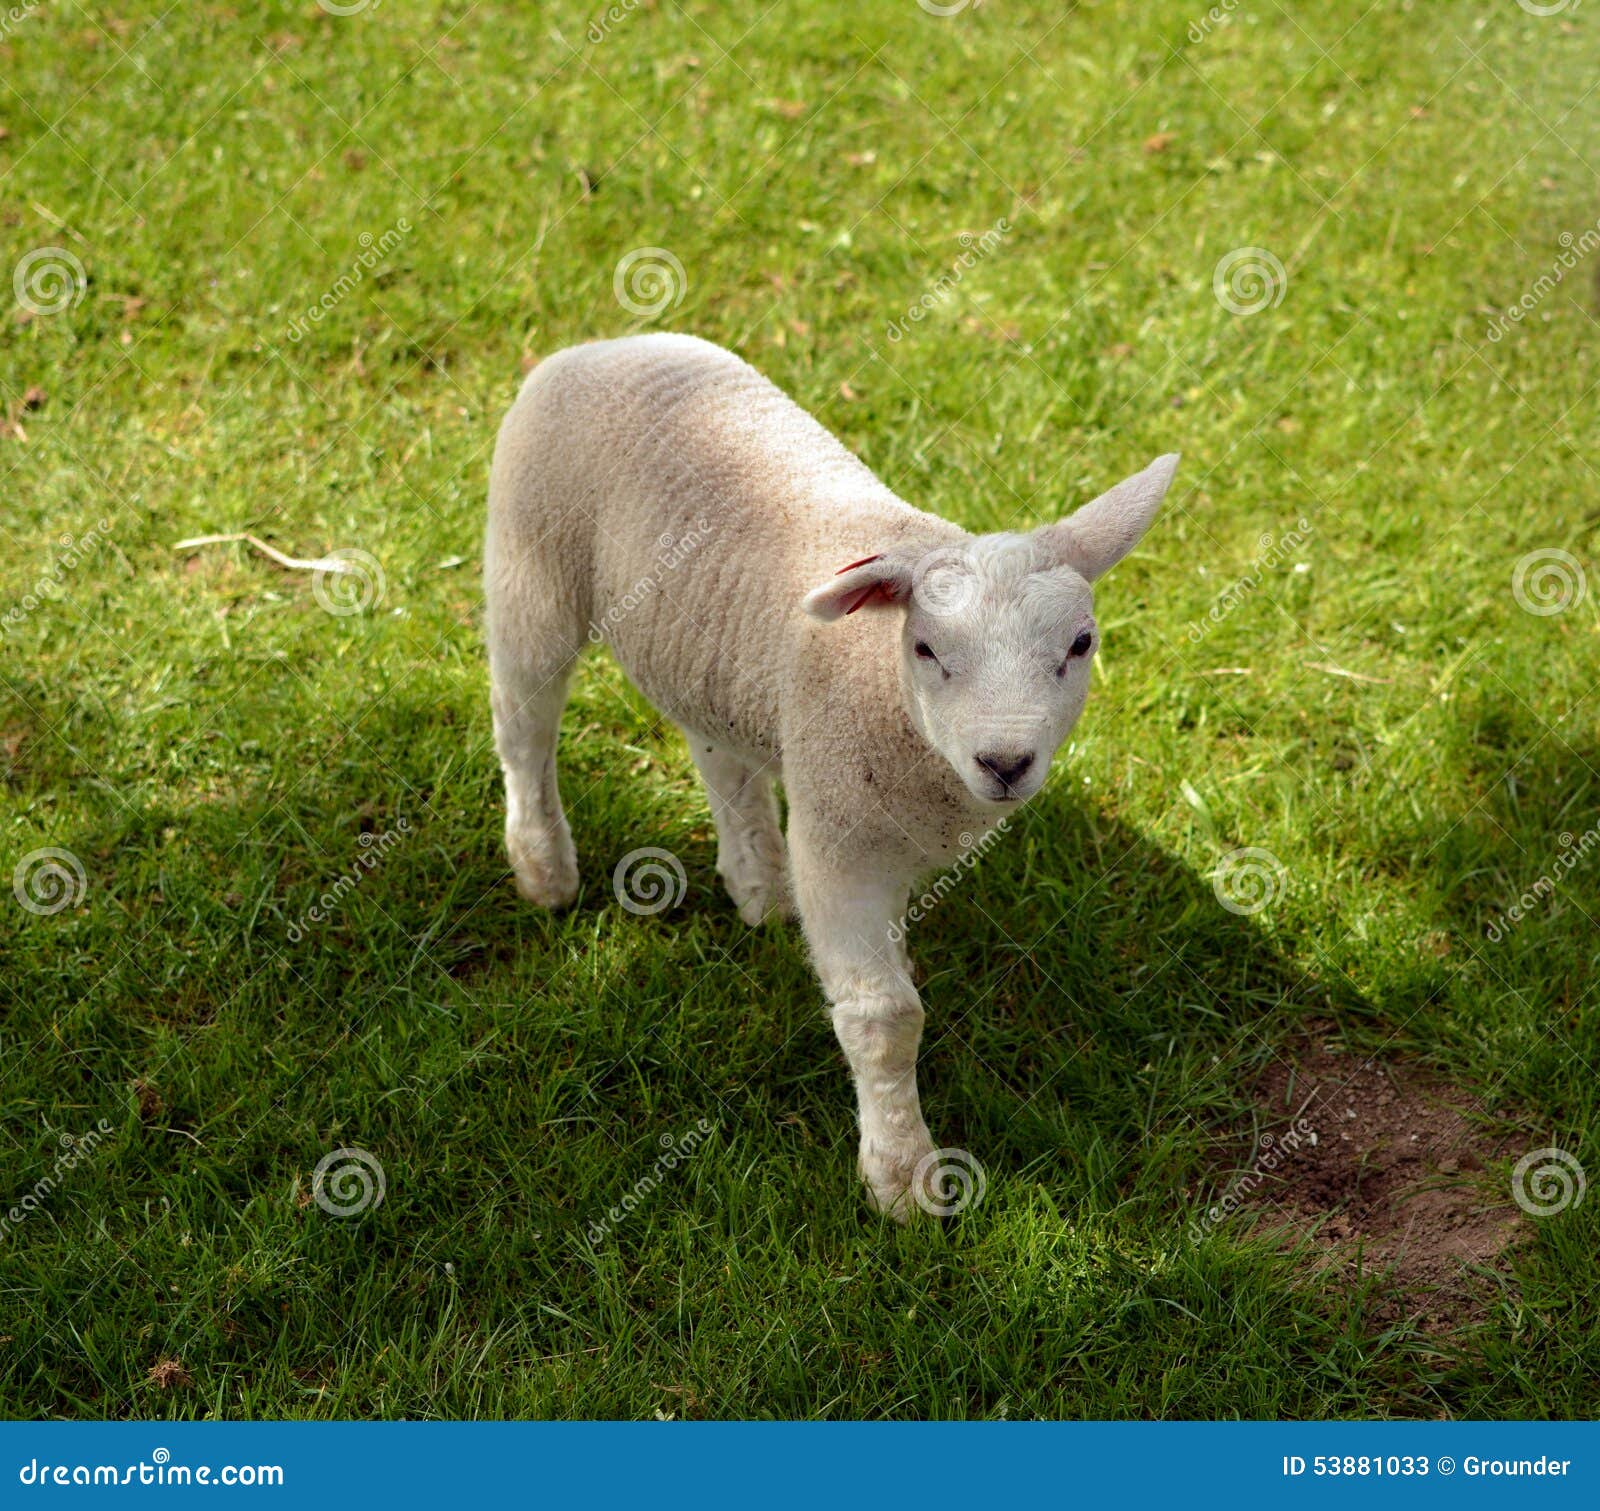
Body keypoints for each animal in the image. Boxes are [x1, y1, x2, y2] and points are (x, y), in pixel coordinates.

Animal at [484, 332, 1178, 1220]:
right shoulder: (841, 841)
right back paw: (544, 867)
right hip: (530, 565)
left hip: (710, 654)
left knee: (721, 756)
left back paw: (759, 884)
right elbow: (886, 1017)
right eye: (926, 648)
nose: (1006, 761)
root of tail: (606, 342)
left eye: (1081, 643)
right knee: (523, 725)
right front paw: (904, 1179)